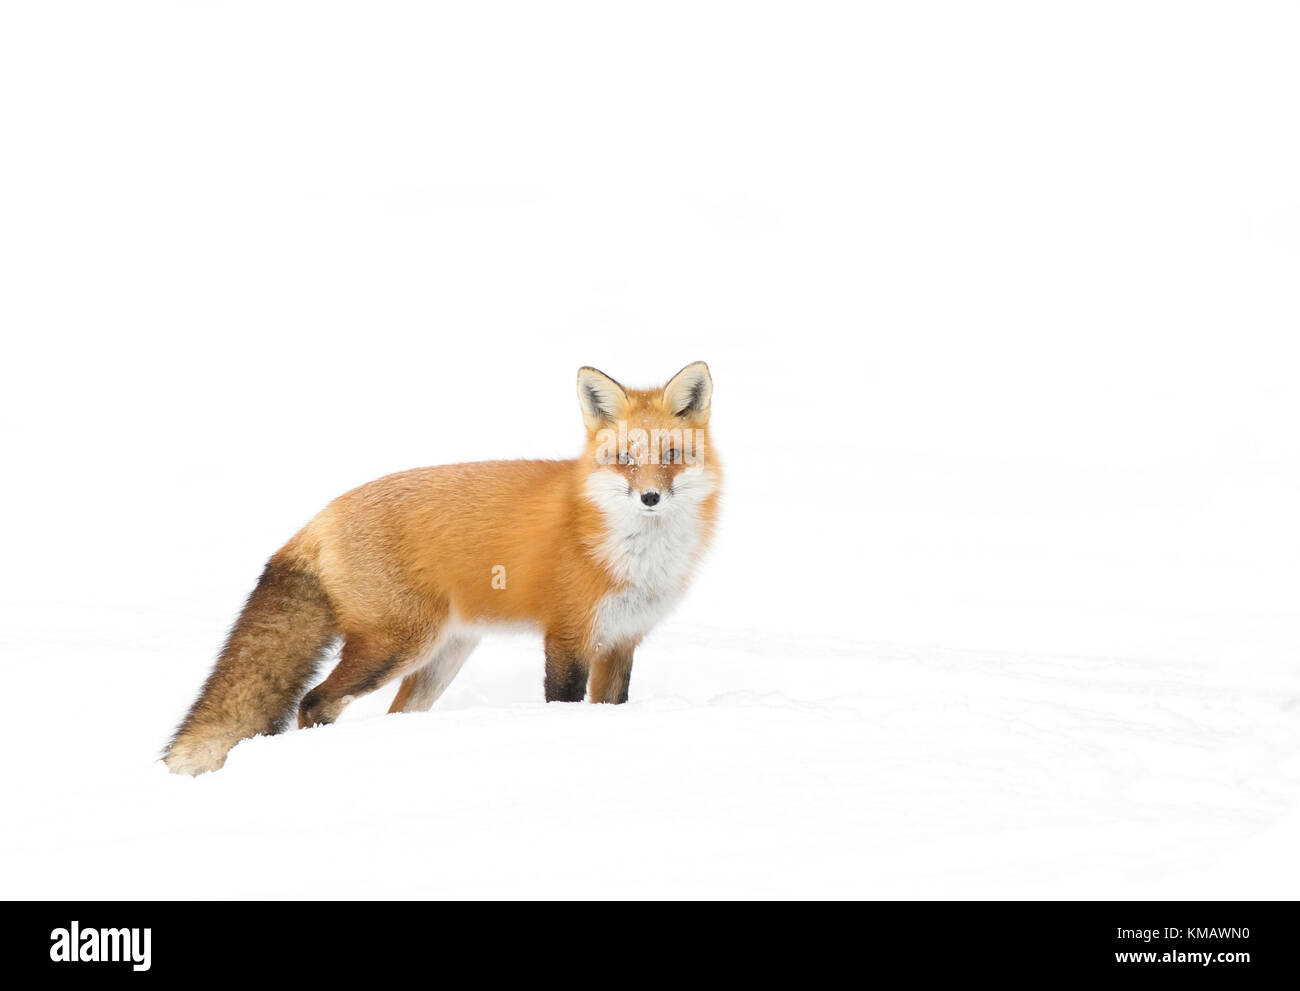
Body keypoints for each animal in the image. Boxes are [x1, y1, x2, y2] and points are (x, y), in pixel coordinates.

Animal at [163, 361, 720, 774]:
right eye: (625, 459)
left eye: (672, 454)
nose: (650, 498)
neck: (634, 553)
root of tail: (321, 515)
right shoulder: (567, 635)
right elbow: (562, 703)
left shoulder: (622, 638)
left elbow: (610, 705)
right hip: (398, 644)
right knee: (315, 702)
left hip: (441, 656)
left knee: (393, 713)